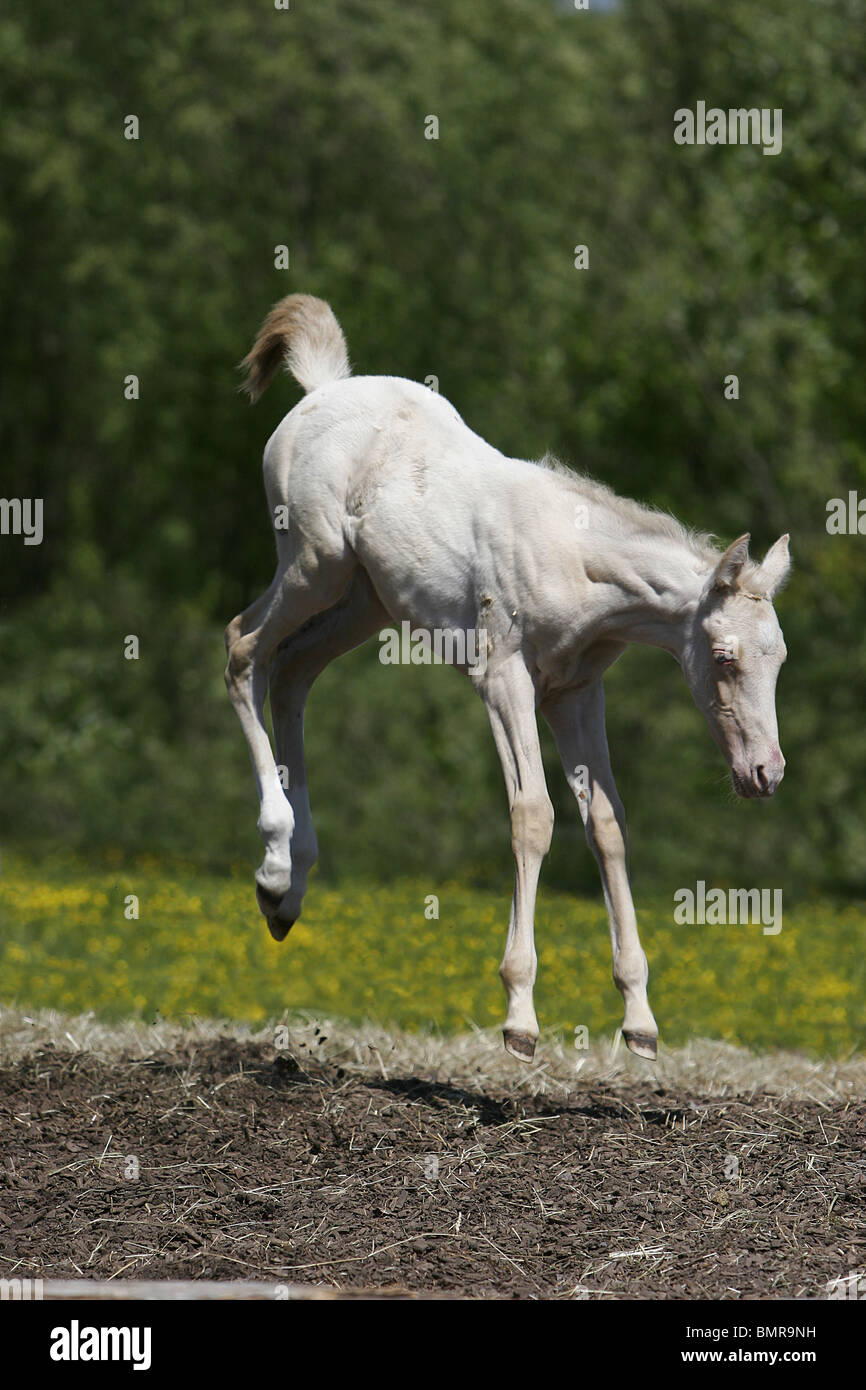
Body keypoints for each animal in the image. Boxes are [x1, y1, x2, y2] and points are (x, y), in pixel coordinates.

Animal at [226, 294, 790, 1063]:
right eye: (726, 657)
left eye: (780, 657)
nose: (765, 773)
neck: (580, 561)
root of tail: (320, 390)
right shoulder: (504, 679)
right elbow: (533, 816)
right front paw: (520, 1015)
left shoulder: (577, 691)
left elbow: (606, 824)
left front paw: (639, 1018)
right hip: (316, 564)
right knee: (244, 649)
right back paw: (275, 865)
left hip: (363, 599)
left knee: (292, 674)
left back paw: (289, 891)